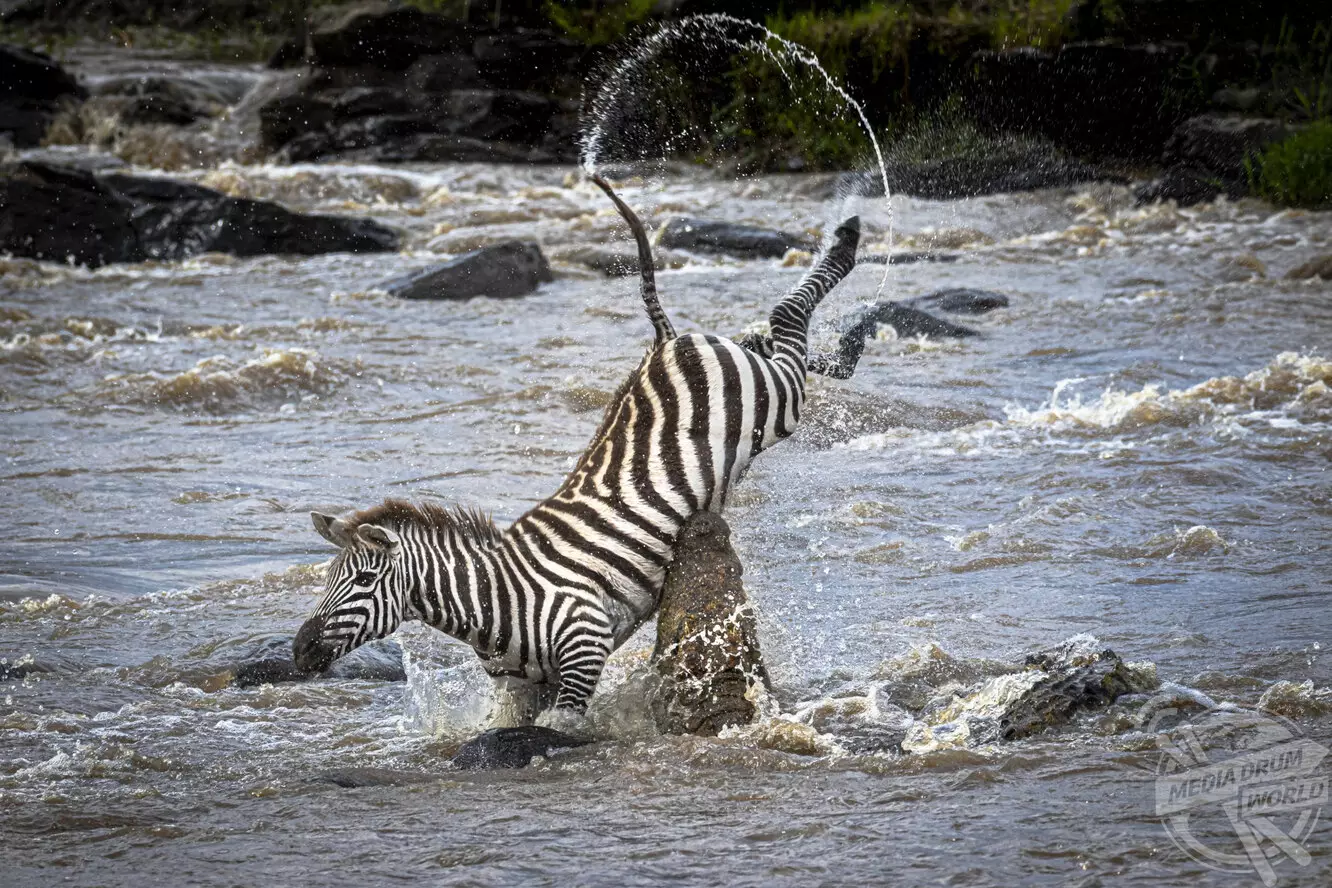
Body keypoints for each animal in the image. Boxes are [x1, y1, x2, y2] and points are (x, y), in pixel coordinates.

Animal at [297, 178, 863, 729]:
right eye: (326, 579)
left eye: (363, 581)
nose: (301, 651)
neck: (496, 600)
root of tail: (664, 344)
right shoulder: (521, 688)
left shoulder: (584, 651)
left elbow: (561, 732)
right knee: (765, 336)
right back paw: (844, 333)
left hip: (774, 402)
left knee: (786, 323)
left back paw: (848, 245)